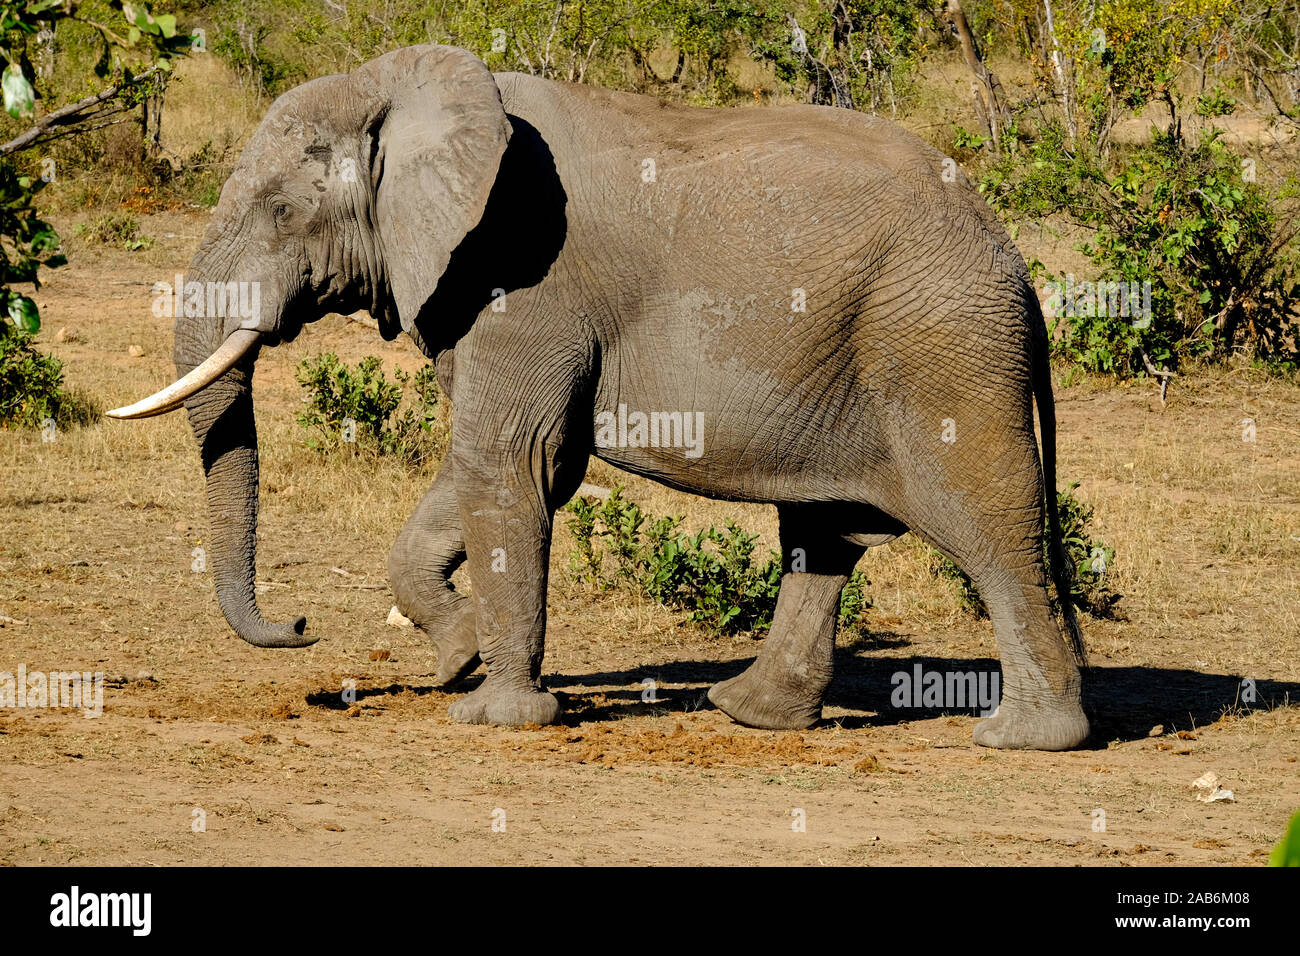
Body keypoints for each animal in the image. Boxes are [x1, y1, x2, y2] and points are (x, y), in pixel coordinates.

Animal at [108, 43, 1090, 750]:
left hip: (942, 351)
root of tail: (1012, 255)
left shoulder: (524, 276)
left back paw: (1021, 737)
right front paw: (456, 656)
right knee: (824, 534)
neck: (405, 89)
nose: (303, 625)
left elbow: (512, 463)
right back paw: (748, 712)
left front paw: (490, 716)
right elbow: (500, 471)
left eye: (281, 212)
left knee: (991, 528)